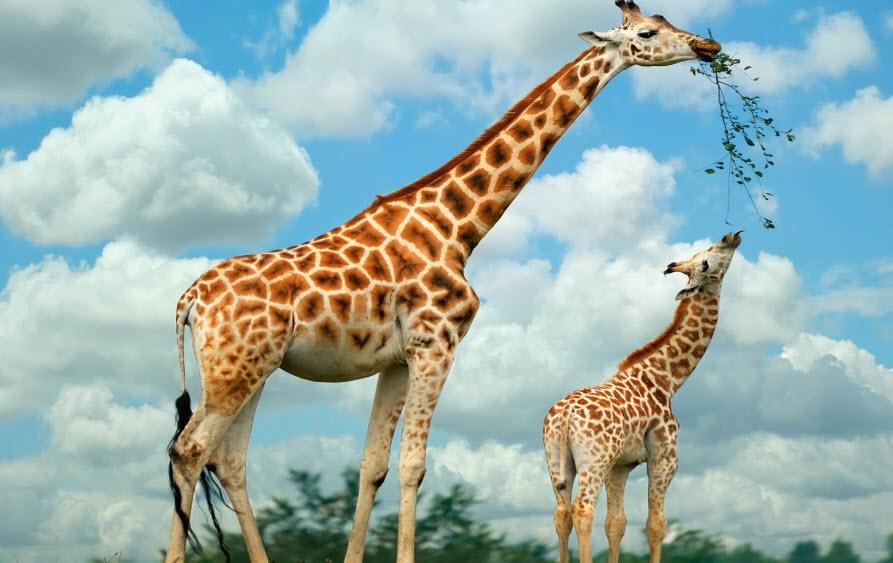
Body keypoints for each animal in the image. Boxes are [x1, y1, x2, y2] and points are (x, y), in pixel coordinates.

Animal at [164, 2, 722, 562]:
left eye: (665, 20)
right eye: (647, 33)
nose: (707, 46)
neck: (458, 229)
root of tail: (189, 300)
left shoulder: (396, 360)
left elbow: (372, 467)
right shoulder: (436, 344)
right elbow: (413, 466)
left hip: (253, 368)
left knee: (228, 460)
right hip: (236, 369)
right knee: (188, 449)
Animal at [542, 231, 742, 563]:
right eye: (705, 260)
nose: (731, 236)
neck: (667, 379)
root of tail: (564, 417)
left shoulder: (620, 466)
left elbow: (616, 524)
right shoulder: (664, 458)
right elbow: (656, 525)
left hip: (556, 460)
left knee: (561, 514)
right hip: (593, 460)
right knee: (582, 509)